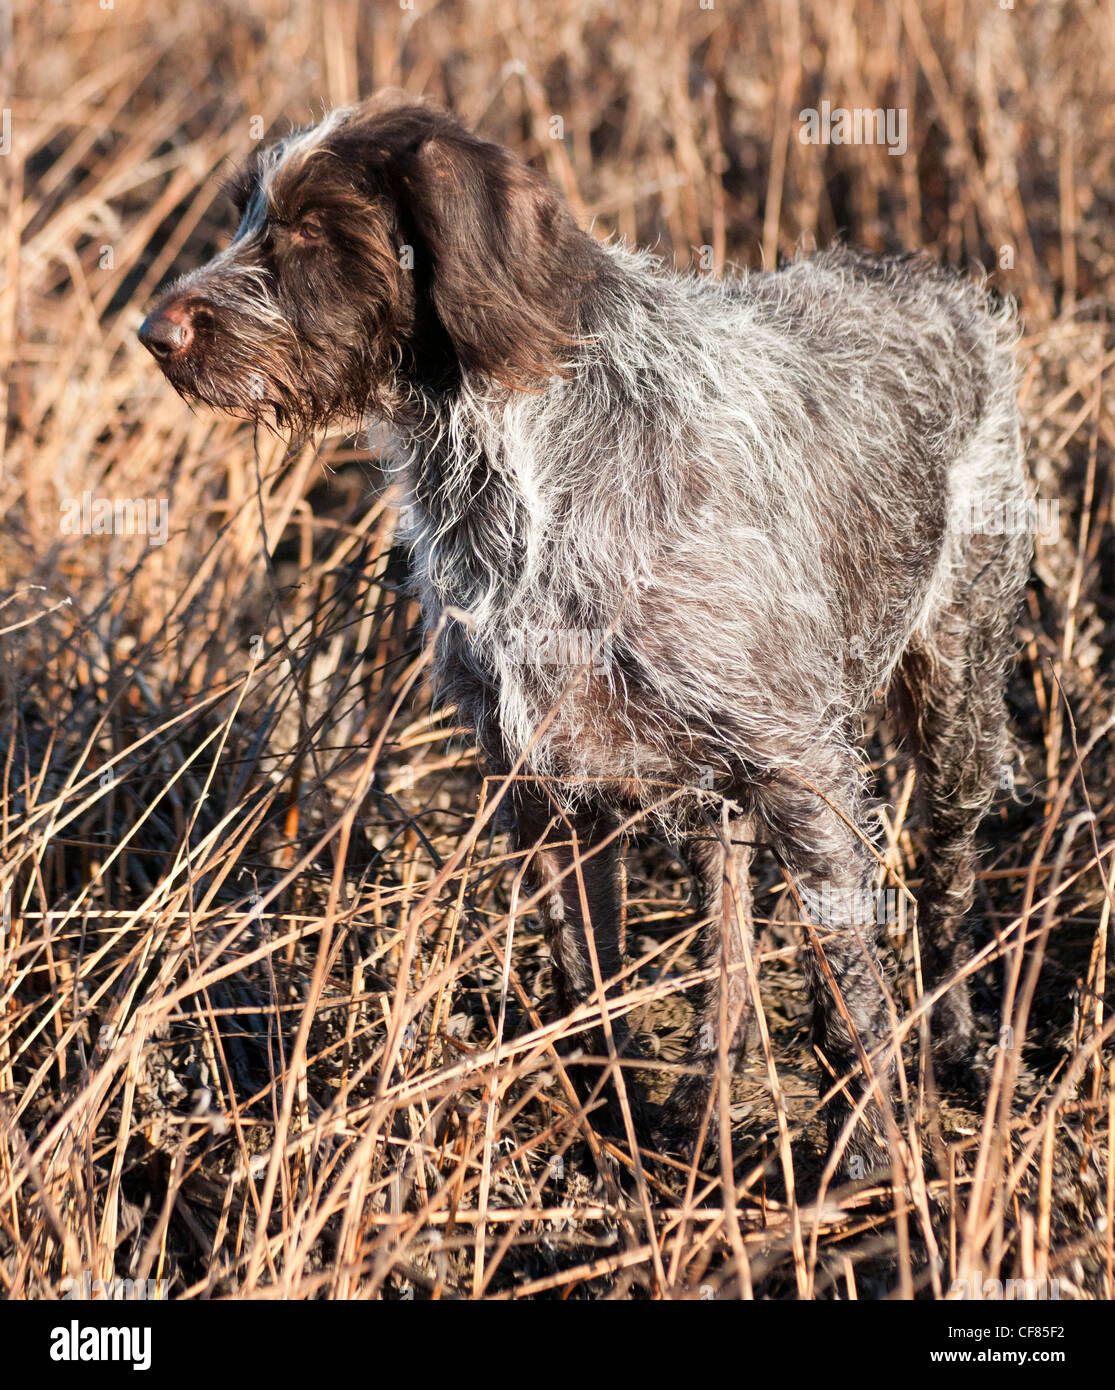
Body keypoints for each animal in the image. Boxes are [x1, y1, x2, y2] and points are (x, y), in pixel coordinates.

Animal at [139, 92, 1023, 1167]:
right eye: (245, 215)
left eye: (313, 227)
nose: (150, 331)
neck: (511, 470)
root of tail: (928, 280)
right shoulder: (543, 782)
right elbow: (584, 981)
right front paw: (615, 1138)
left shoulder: (799, 767)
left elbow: (848, 988)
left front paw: (867, 1164)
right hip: (713, 789)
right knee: (727, 927)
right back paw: (706, 1083)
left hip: (955, 705)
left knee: (946, 882)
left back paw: (958, 1045)